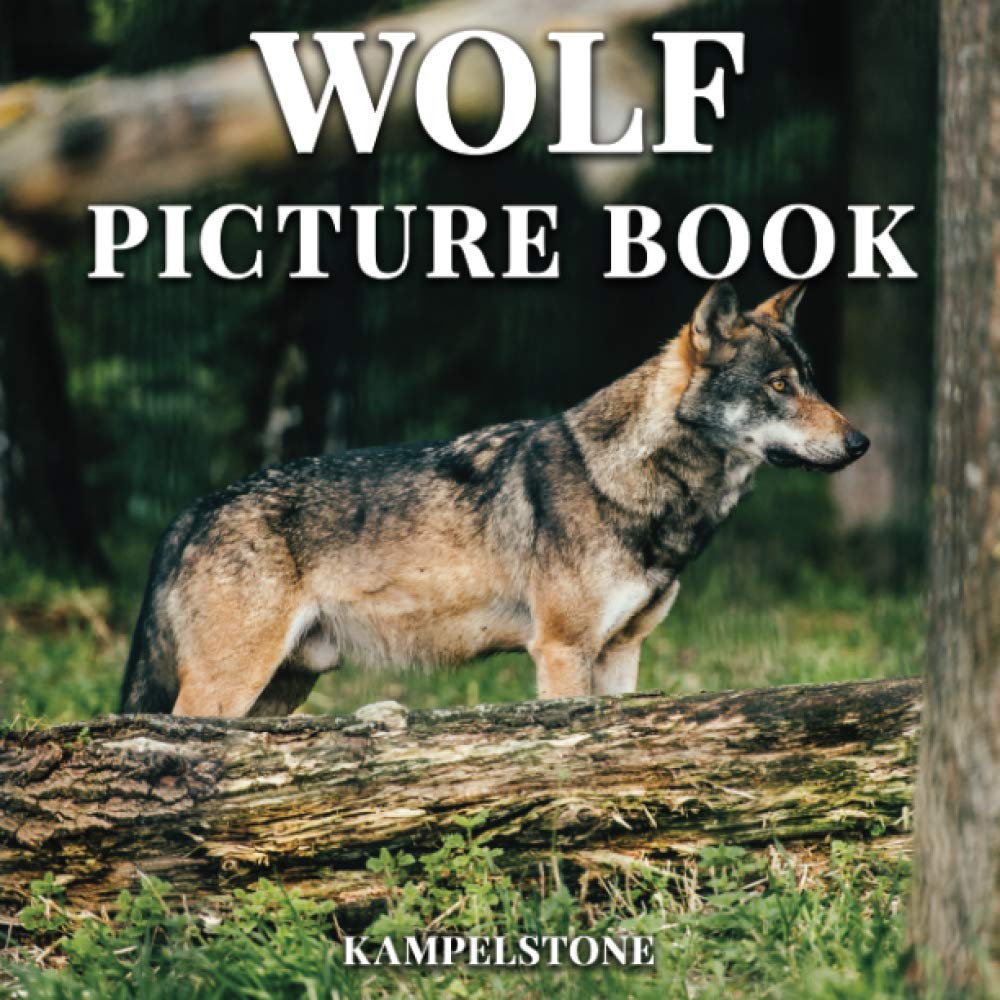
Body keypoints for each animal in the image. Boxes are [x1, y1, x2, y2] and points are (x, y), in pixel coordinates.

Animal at [120, 282, 869, 717]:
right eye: (778, 386)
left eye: (810, 379)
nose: (860, 442)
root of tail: (193, 510)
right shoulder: (562, 650)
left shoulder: (622, 652)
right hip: (229, 689)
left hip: (281, 691)